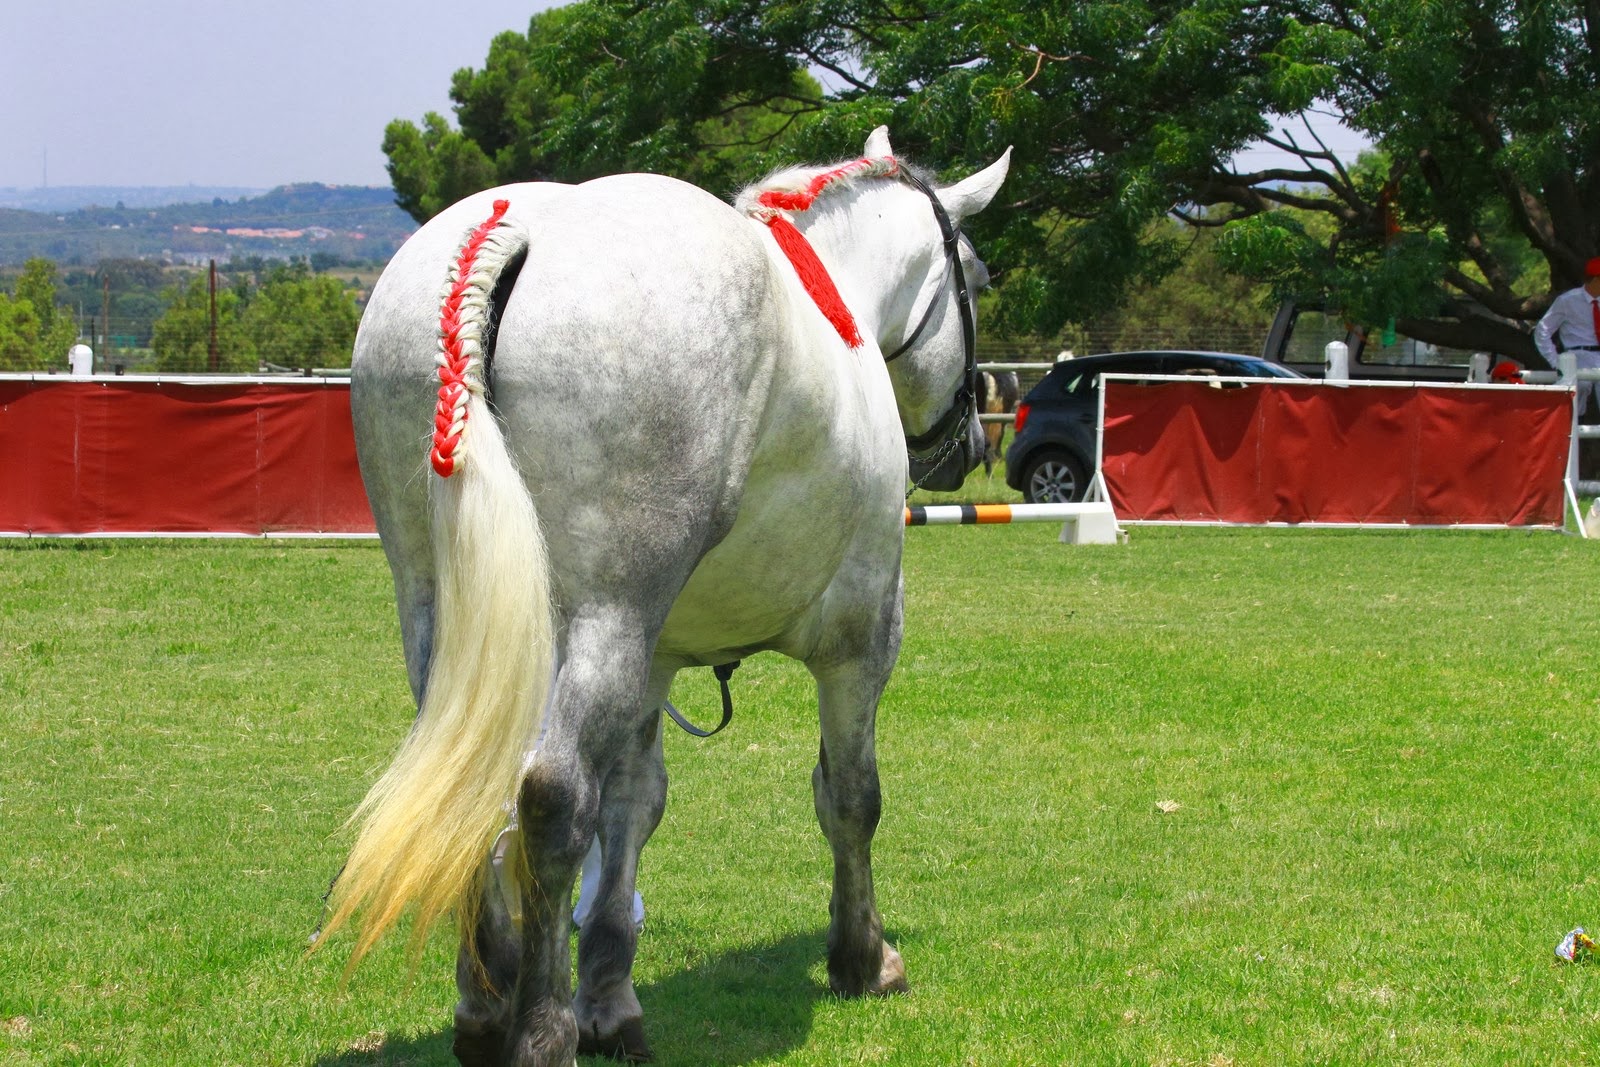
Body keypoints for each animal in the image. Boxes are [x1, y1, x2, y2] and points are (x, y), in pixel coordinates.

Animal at [323, 127, 1009, 1067]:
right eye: (975, 275)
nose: (969, 440)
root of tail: (508, 234)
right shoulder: (861, 639)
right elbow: (850, 796)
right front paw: (862, 956)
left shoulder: (654, 660)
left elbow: (633, 805)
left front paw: (610, 994)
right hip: (607, 618)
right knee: (550, 796)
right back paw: (537, 1027)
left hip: (448, 617)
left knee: (480, 784)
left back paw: (487, 1000)